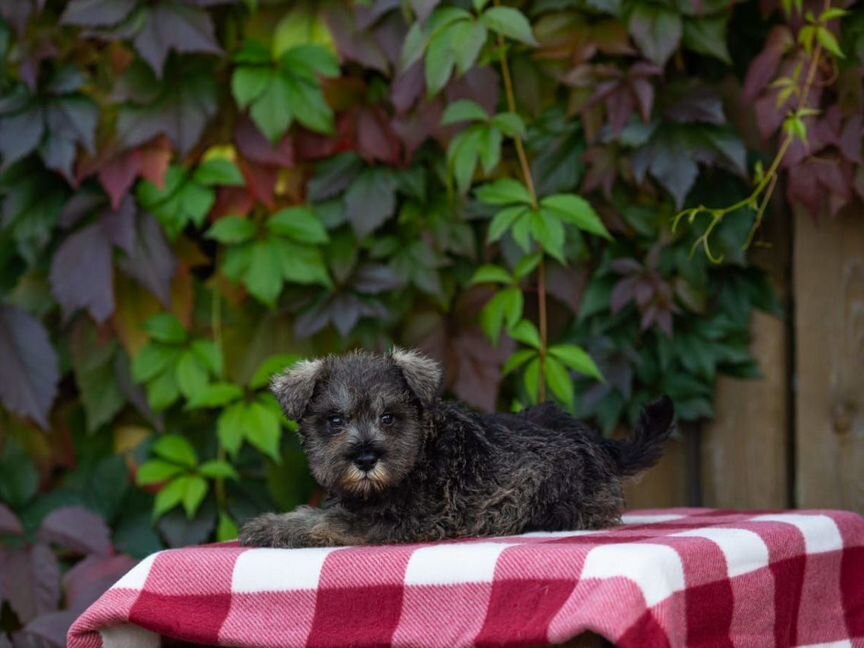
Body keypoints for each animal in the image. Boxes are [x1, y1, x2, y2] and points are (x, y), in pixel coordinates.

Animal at [238, 346, 676, 548]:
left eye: (389, 418)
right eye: (335, 420)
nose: (365, 458)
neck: (420, 453)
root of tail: (594, 439)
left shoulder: (392, 522)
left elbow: (321, 523)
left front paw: (267, 526)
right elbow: (323, 513)